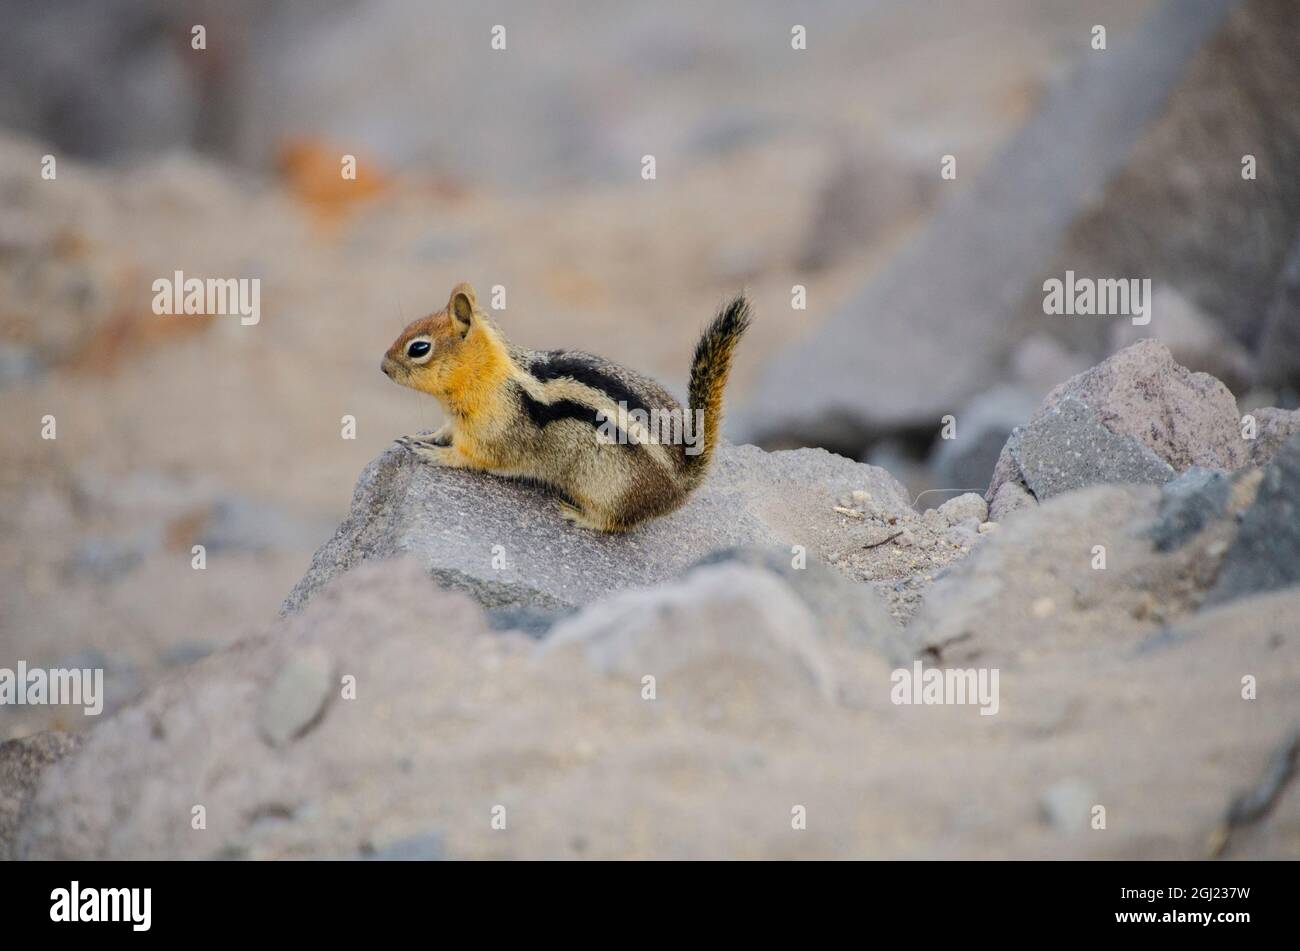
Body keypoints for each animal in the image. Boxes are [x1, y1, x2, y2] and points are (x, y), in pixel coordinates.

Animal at [381, 282, 751, 532]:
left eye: (419, 348)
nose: (383, 367)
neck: (487, 376)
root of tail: (685, 478)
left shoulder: (491, 436)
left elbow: (470, 457)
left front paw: (432, 453)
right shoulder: (458, 422)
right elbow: (444, 431)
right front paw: (426, 437)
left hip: (609, 489)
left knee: (615, 523)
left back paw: (580, 516)